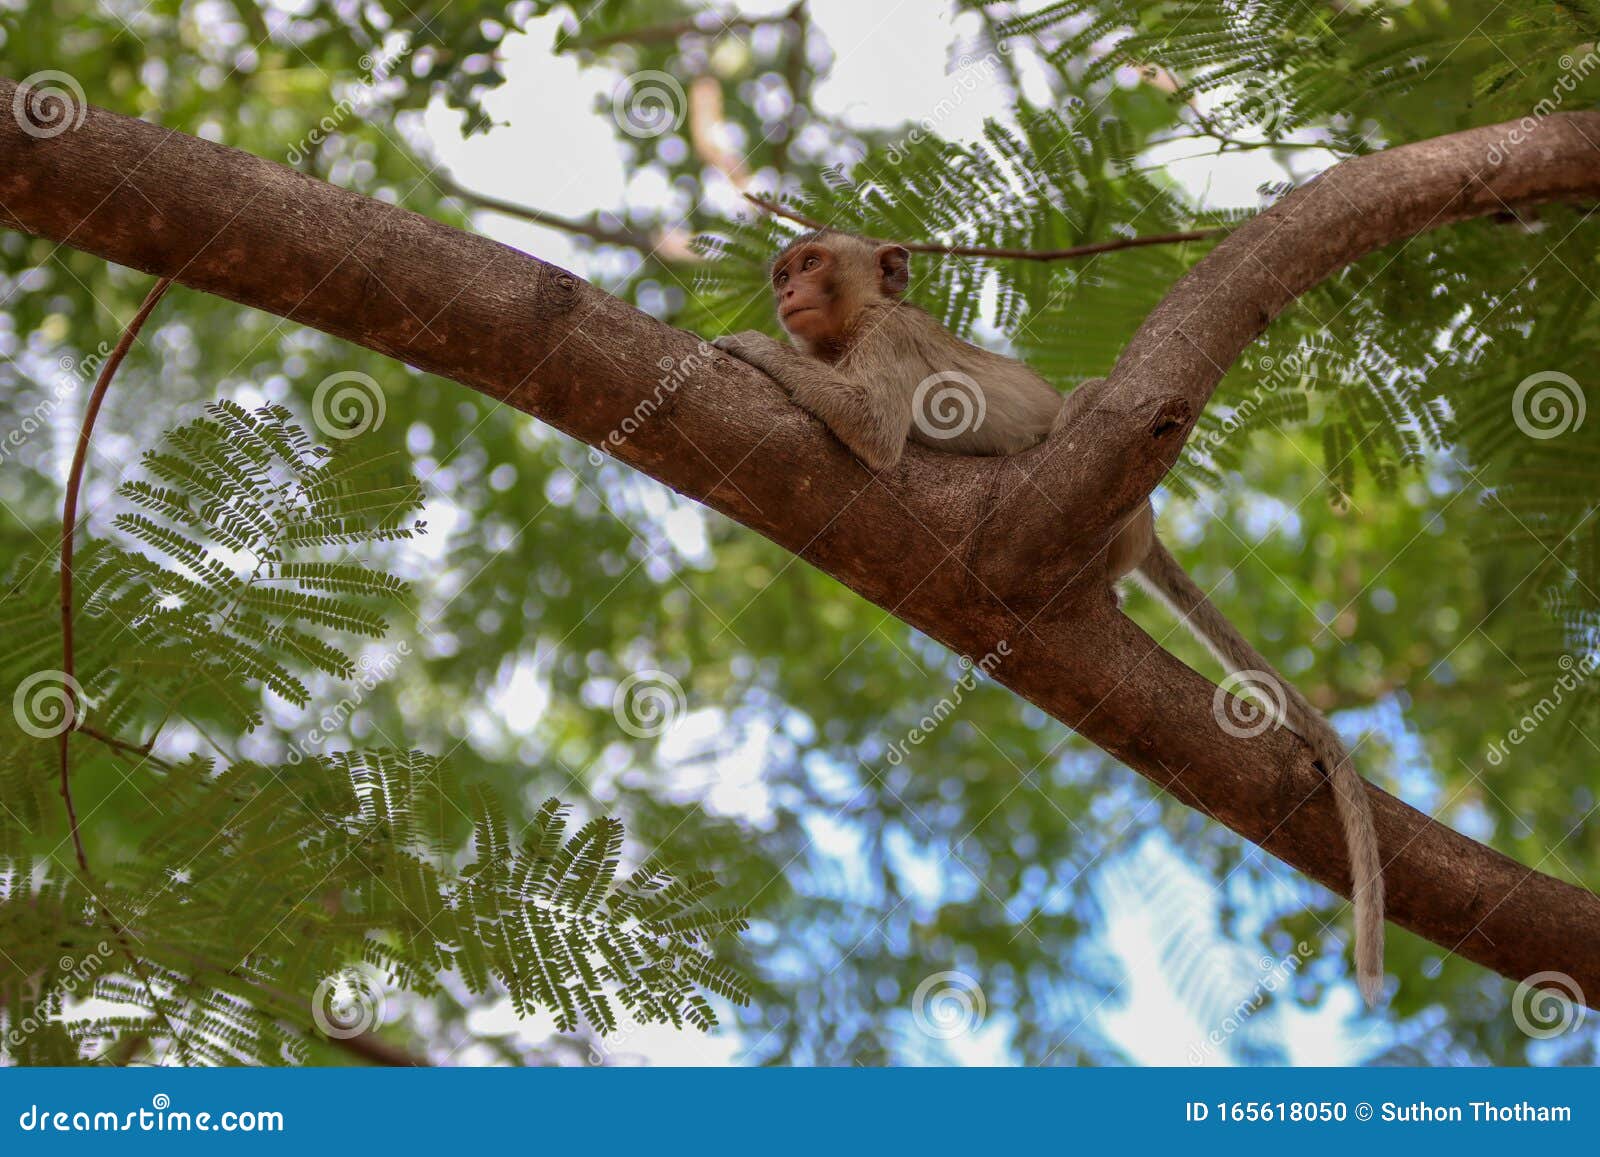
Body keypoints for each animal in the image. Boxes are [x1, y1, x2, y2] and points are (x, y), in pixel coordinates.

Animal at [713, 228, 1385, 1006]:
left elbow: (876, 428)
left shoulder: (890, 334)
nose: (788, 292)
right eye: (783, 273)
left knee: (1094, 404)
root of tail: (1144, 533)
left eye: (812, 264)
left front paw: (753, 347)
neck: (851, 328)